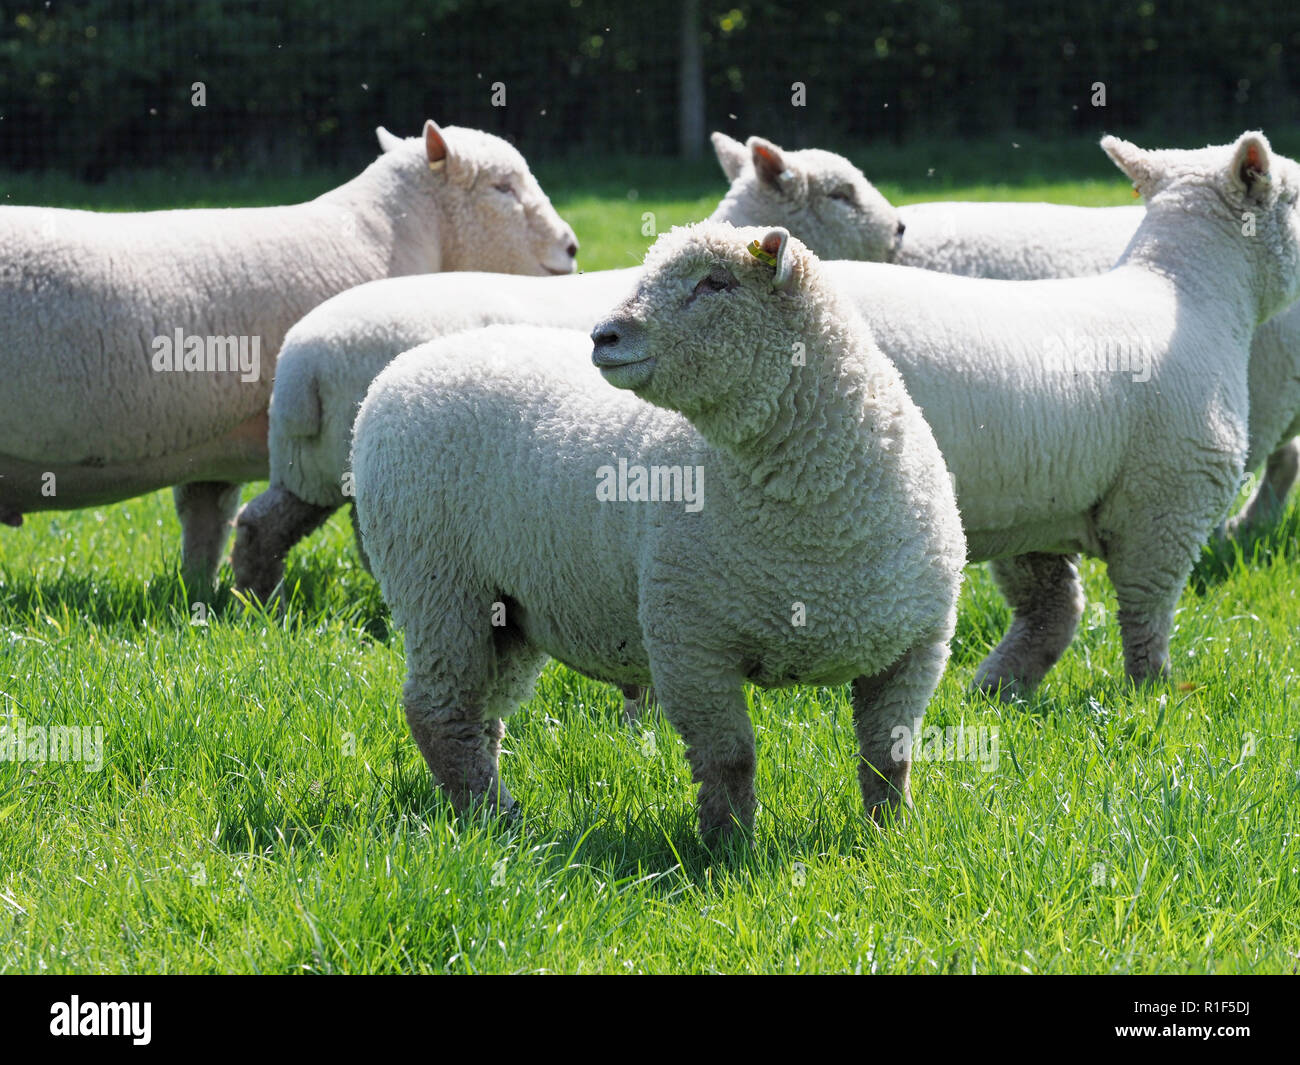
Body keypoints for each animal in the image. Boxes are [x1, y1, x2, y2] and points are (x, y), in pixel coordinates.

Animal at [0, 119, 578, 589]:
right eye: (503, 188)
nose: (572, 248)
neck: (393, 236)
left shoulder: (211, 447)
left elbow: (205, 519)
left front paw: (201, 601)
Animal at [232, 132, 905, 601]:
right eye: (841, 194)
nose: (900, 228)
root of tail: (299, 364)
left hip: (311, 465)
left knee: (263, 523)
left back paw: (255, 605)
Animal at [350, 224, 967, 839]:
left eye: (715, 282)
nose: (603, 335)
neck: (817, 519)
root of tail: (398, 372)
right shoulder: (691, 645)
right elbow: (729, 759)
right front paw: (729, 846)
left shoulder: (917, 648)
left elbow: (889, 757)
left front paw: (890, 834)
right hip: (437, 585)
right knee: (440, 712)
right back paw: (492, 819)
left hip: (508, 611)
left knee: (482, 717)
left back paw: (498, 812)